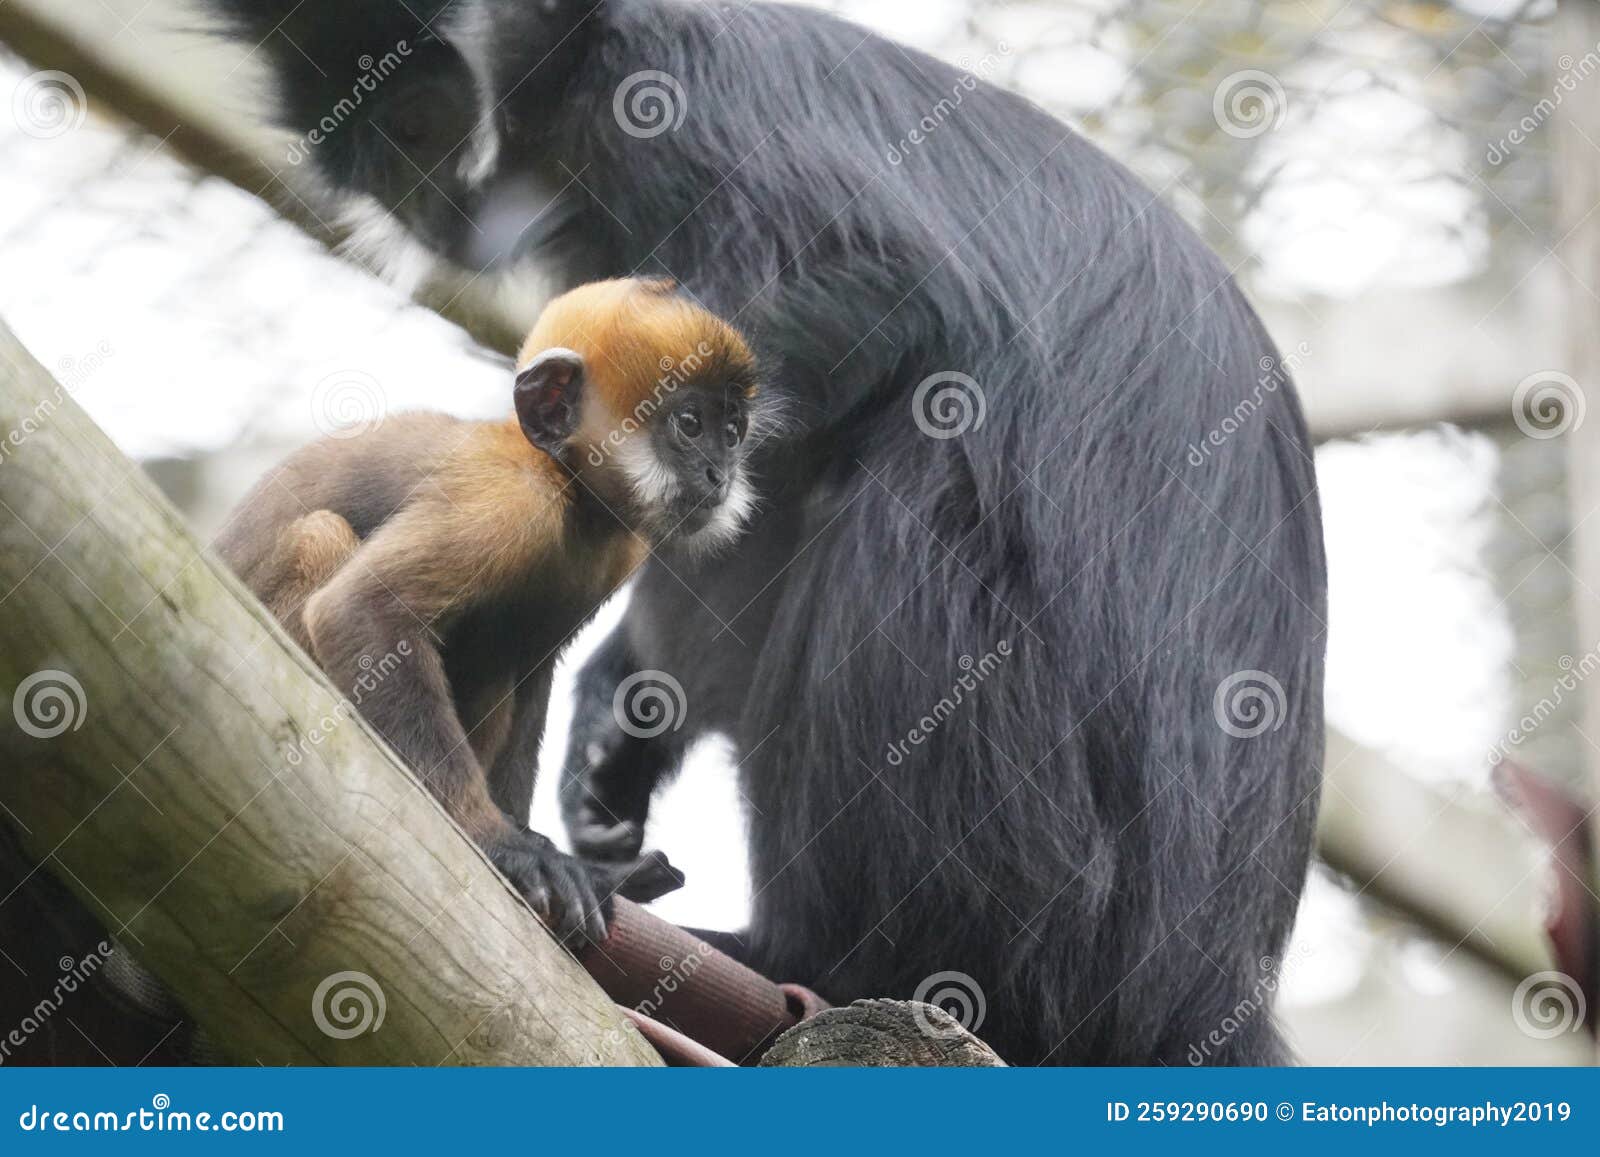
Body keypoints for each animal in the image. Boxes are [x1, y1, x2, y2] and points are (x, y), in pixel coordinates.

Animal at [216, 277, 773, 943]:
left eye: (733, 431)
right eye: (689, 423)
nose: (721, 474)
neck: (570, 490)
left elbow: (530, 668)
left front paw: (549, 846)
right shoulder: (507, 494)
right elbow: (363, 608)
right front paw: (501, 844)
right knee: (321, 537)